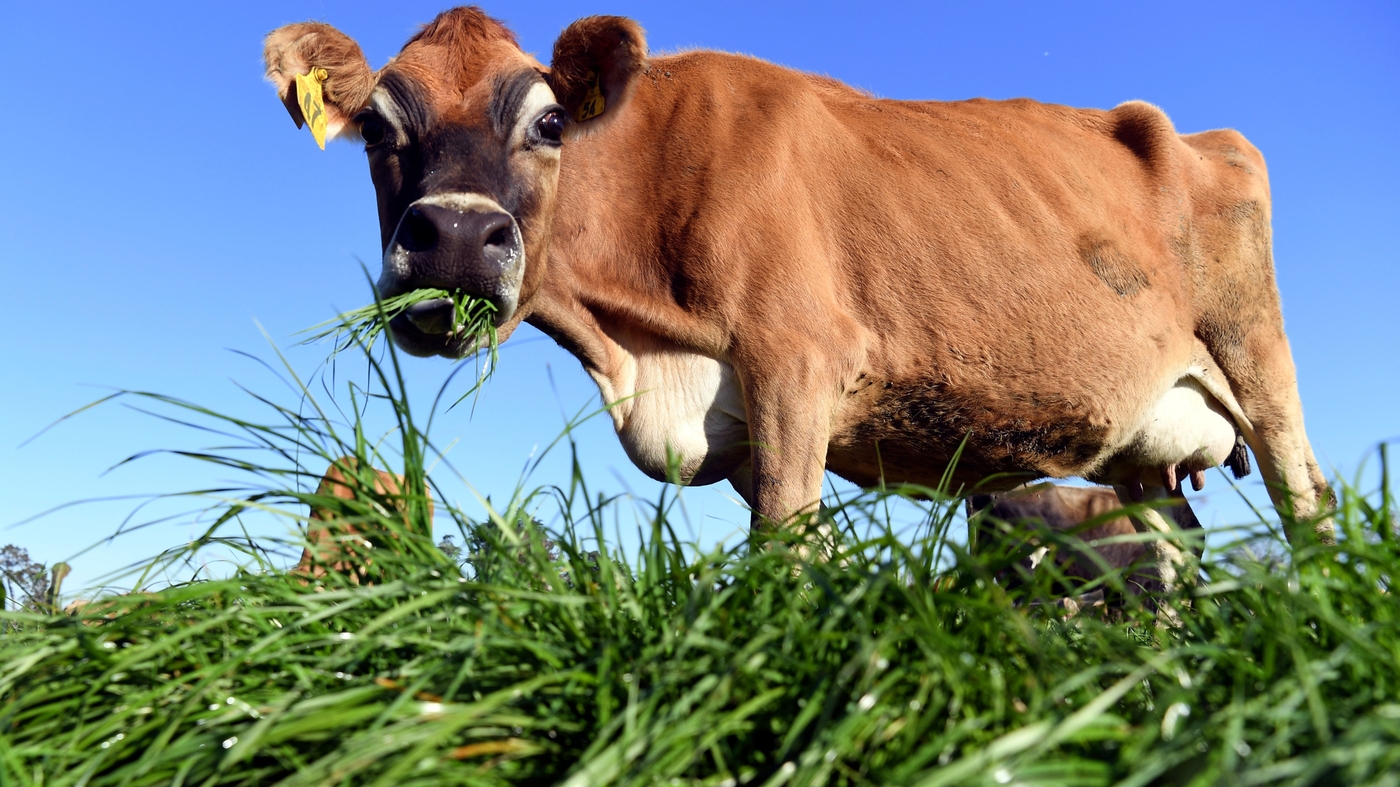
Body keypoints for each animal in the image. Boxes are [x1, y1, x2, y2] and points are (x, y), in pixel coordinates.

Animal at [262, 8, 1331, 569]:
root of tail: (1191, 132)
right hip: (1145, 454)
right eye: (377, 129)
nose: (453, 237)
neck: (633, 350)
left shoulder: (795, 364)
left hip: (1258, 366)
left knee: (1307, 502)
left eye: (550, 122)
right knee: (1173, 557)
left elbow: (784, 547)